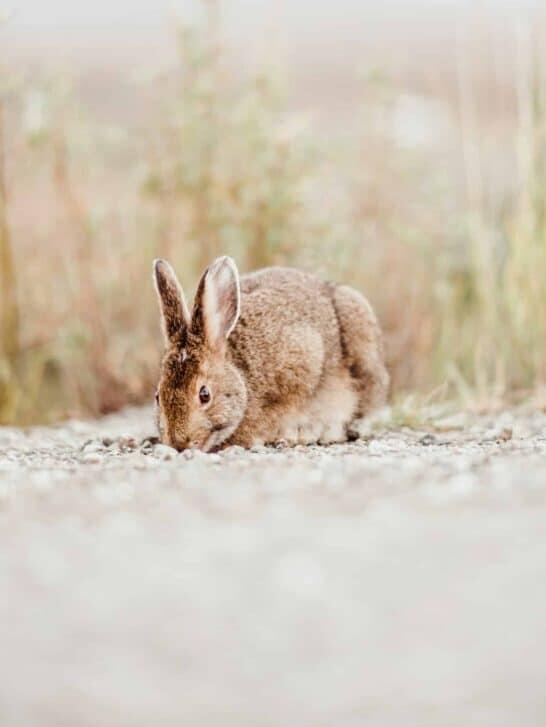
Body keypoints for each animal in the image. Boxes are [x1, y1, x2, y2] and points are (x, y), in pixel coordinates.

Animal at [153, 256, 389, 452]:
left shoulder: (303, 359)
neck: (244, 381)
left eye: (205, 395)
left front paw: (296, 434)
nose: (178, 444)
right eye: (157, 396)